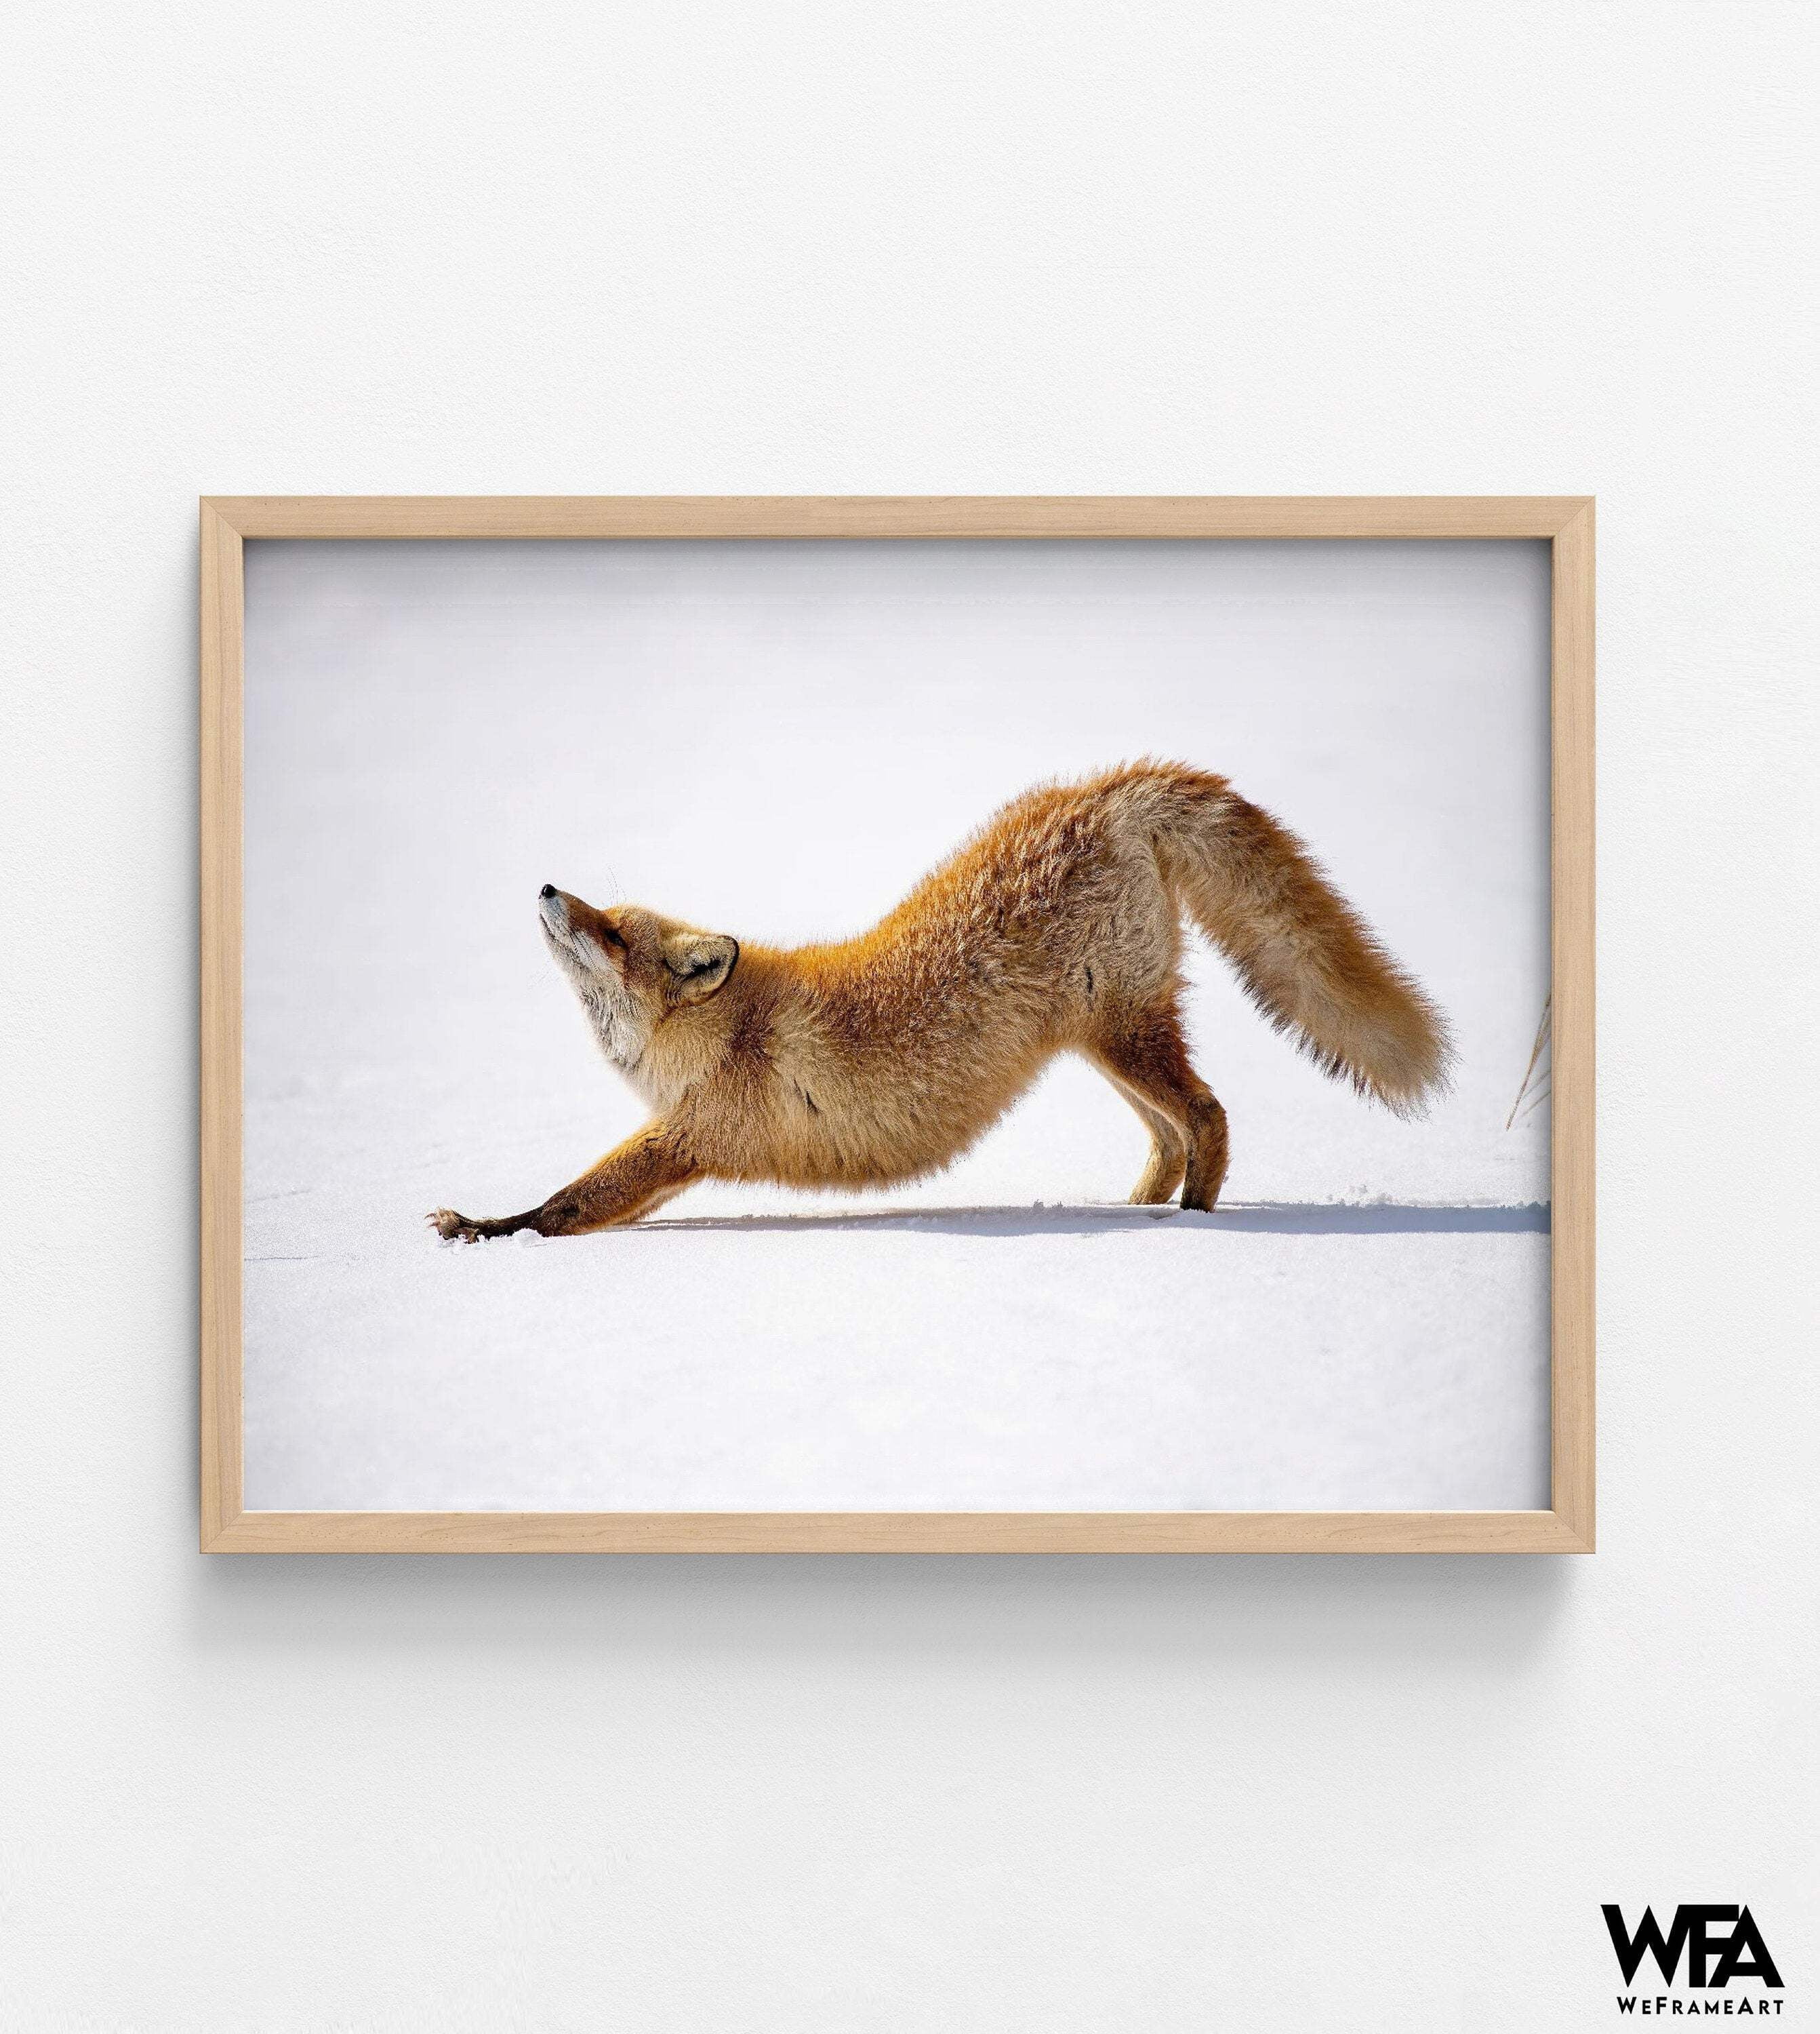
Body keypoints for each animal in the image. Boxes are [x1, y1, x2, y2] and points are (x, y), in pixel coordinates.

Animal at [429, 761, 1452, 1242]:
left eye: (612, 934)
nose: (548, 890)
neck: (724, 1033)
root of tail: (1101, 790)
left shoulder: (690, 1137)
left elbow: (564, 1204)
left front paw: (487, 1231)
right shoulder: (691, 1141)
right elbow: (581, 1202)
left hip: (1122, 1032)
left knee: (1209, 1116)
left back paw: (1193, 1226)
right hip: (1100, 1043)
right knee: (1172, 1133)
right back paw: (1136, 1212)